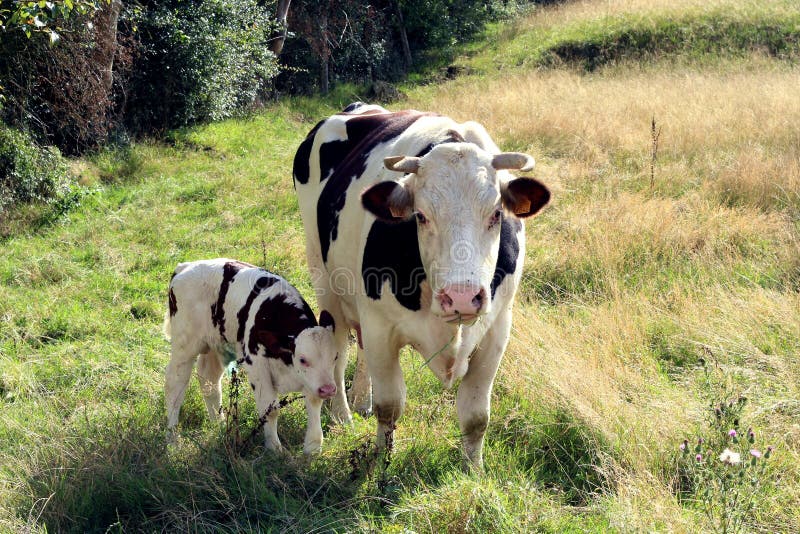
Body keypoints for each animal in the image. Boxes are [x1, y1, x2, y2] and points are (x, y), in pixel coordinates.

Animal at [163, 258, 338, 454]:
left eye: (335, 357)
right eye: (303, 360)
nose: (329, 389)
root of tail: (184, 266)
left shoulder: (313, 381)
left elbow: (314, 402)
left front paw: (313, 447)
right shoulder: (257, 366)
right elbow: (270, 408)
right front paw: (274, 449)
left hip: (216, 343)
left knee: (209, 380)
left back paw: (220, 426)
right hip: (185, 344)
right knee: (175, 384)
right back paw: (173, 439)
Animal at [293, 103, 550, 467]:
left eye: (497, 214)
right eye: (421, 216)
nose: (461, 298)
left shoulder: (498, 329)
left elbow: (476, 416)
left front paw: (474, 470)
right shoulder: (380, 327)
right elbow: (389, 407)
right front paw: (382, 462)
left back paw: (360, 400)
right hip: (323, 276)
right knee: (337, 350)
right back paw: (342, 415)